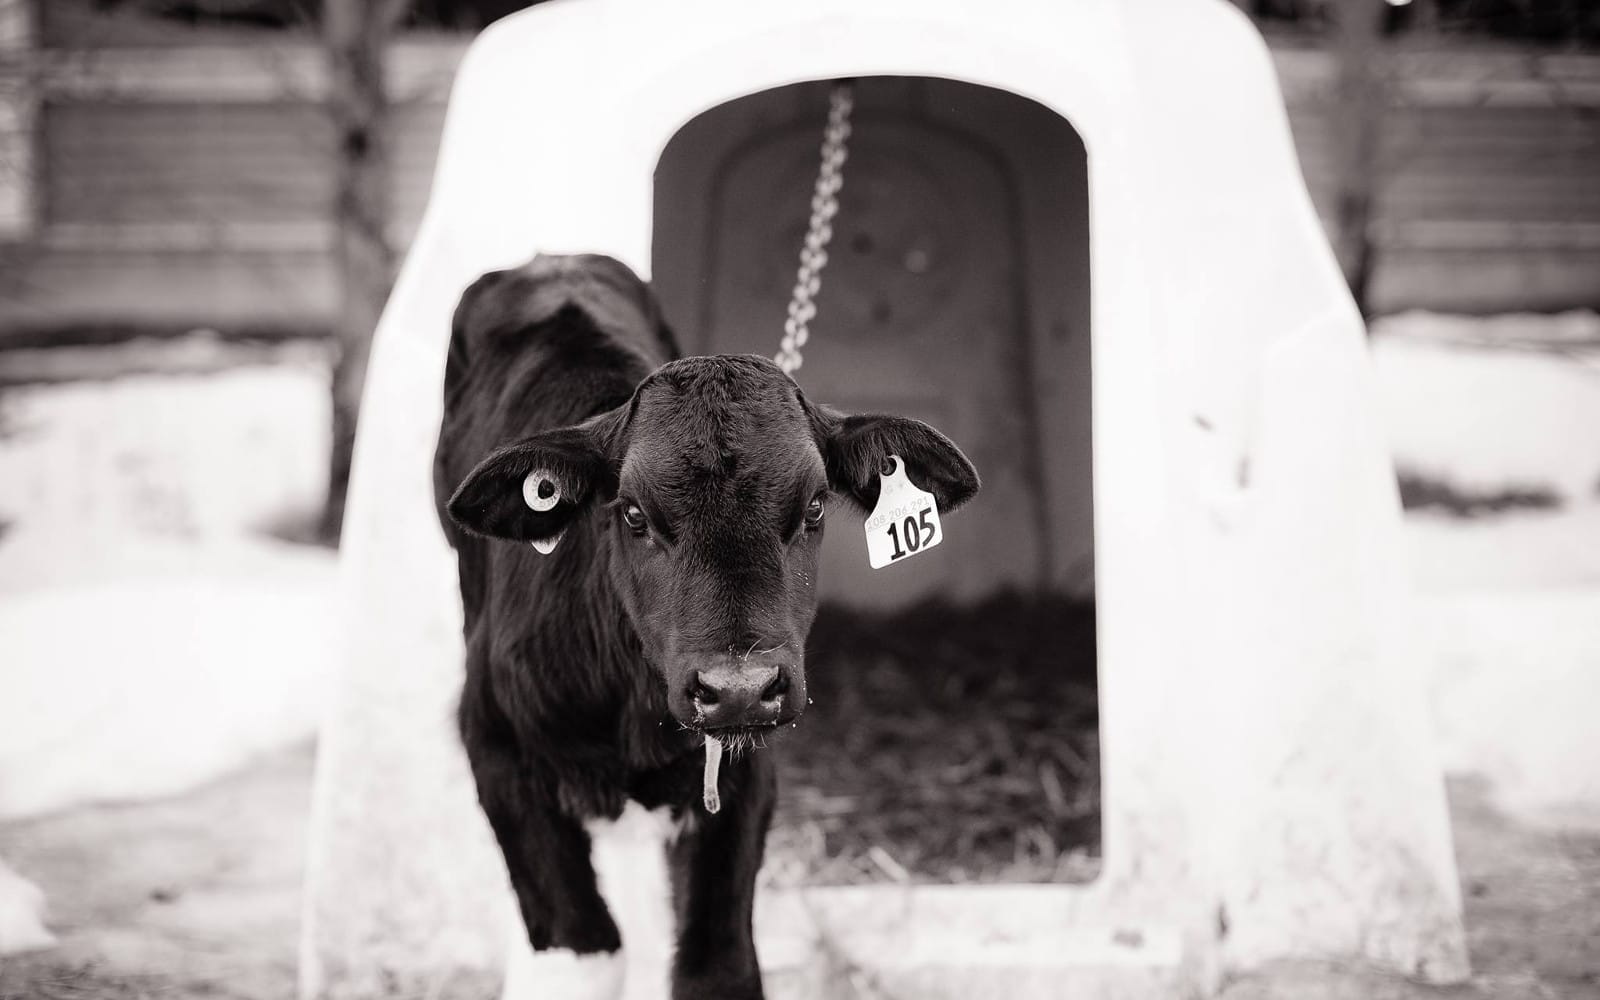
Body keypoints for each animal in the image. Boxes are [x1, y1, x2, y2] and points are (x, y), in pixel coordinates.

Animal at [434, 253, 978, 1000]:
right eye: (633, 515)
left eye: (814, 507)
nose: (741, 688)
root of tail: (554, 262)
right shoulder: (495, 746)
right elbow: (581, 951)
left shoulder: (746, 777)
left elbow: (716, 964)